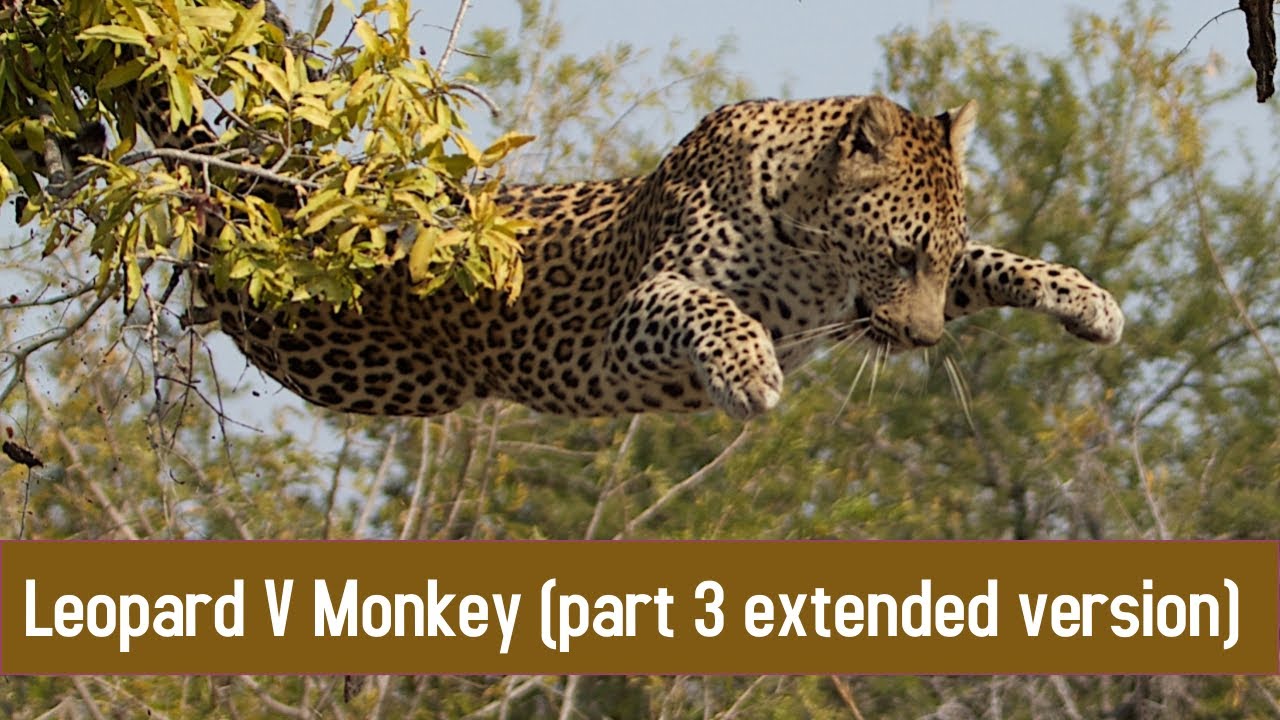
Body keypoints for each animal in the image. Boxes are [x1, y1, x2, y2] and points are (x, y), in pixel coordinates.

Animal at [194, 94, 1123, 420]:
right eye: (899, 254)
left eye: (933, 255)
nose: (929, 344)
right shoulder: (629, 318)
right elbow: (709, 307)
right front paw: (748, 374)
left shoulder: (847, 311)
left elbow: (995, 263)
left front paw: (1089, 301)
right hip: (326, 353)